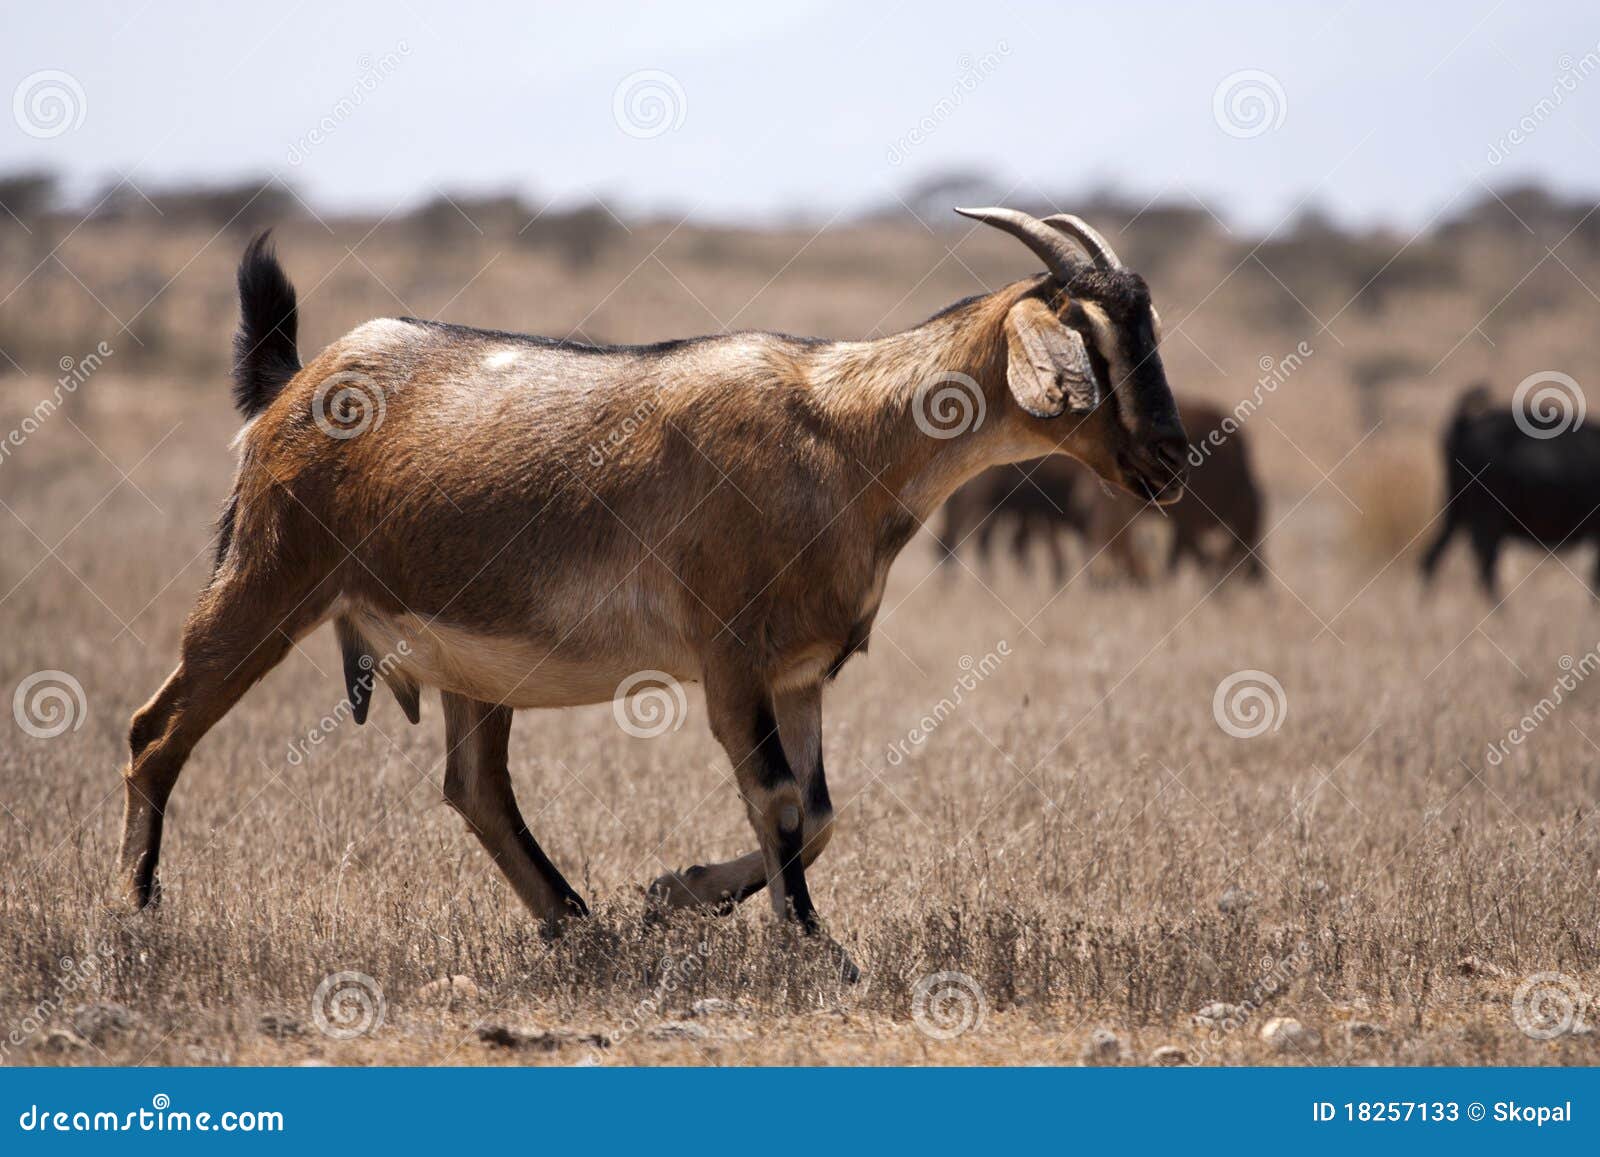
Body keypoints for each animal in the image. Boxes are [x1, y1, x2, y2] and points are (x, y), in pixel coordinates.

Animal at [118, 208, 1187, 968]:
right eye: (1092, 340)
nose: (1172, 459)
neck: (839, 427)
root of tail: (290, 389)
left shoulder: (799, 672)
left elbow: (819, 809)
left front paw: (678, 896)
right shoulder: (731, 659)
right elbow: (781, 799)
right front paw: (810, 947)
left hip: (466, 659)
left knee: (476, 787)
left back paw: (582, 927)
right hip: (266, 580)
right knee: (155, 731)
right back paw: (135, 915)